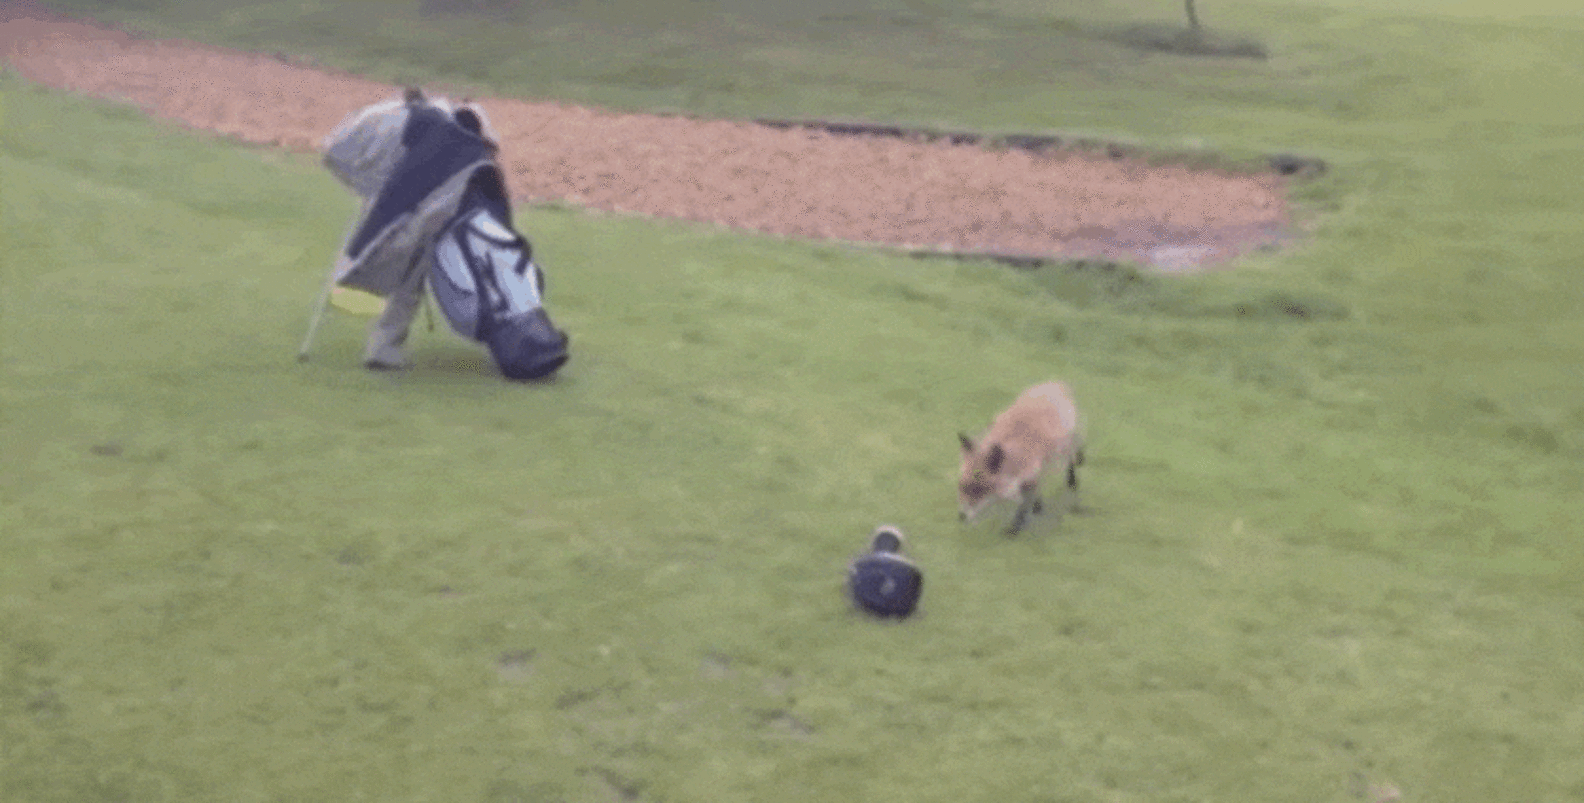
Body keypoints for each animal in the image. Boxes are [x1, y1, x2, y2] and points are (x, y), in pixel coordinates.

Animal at [957, 381, 1085, 535]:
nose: (961, 517)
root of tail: (1054, 383)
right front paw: (1037, 507)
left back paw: (1073, 479)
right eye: (962, 487)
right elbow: (1032, 497)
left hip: (1068, 444)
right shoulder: (1029, 475)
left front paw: (1015, 528)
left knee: (1072, 458)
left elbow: (1024, 505)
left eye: (978, 490)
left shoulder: (1031, 473)